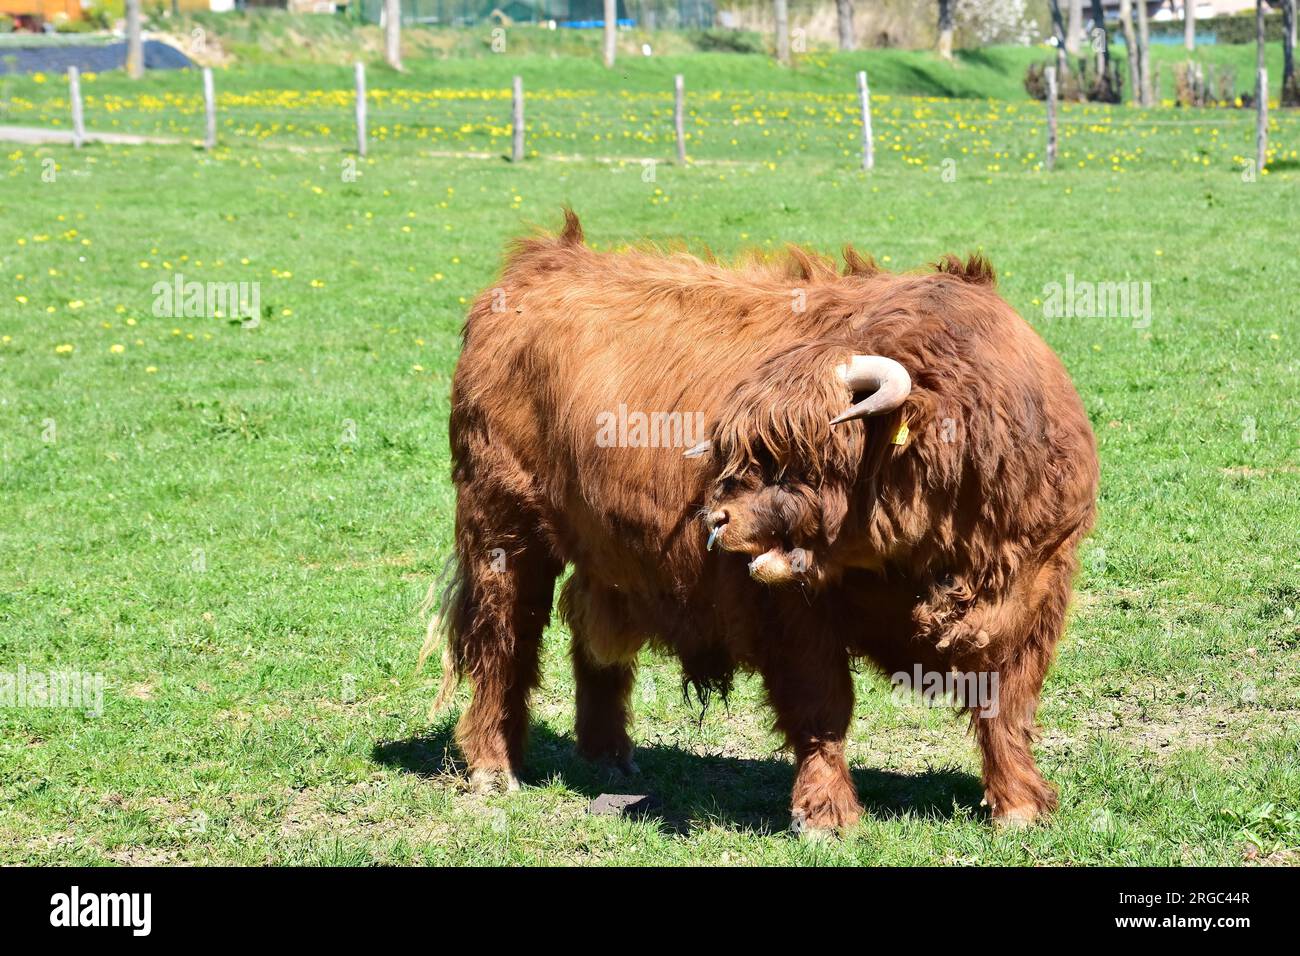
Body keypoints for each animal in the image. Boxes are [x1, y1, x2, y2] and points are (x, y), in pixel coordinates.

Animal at [427, 210, 1098, 832]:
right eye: (740, 447)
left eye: (801, 457)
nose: (715, 518)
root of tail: (540, 262)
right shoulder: (789, 611)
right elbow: (821, 703)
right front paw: (824, 815)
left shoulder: (1037, 587)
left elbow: (1006, 704)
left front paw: (1021, 804)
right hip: (502, 525)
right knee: (503, 636)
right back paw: (493, 766)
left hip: (606, 546)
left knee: (592, 628)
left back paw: (610, 756)